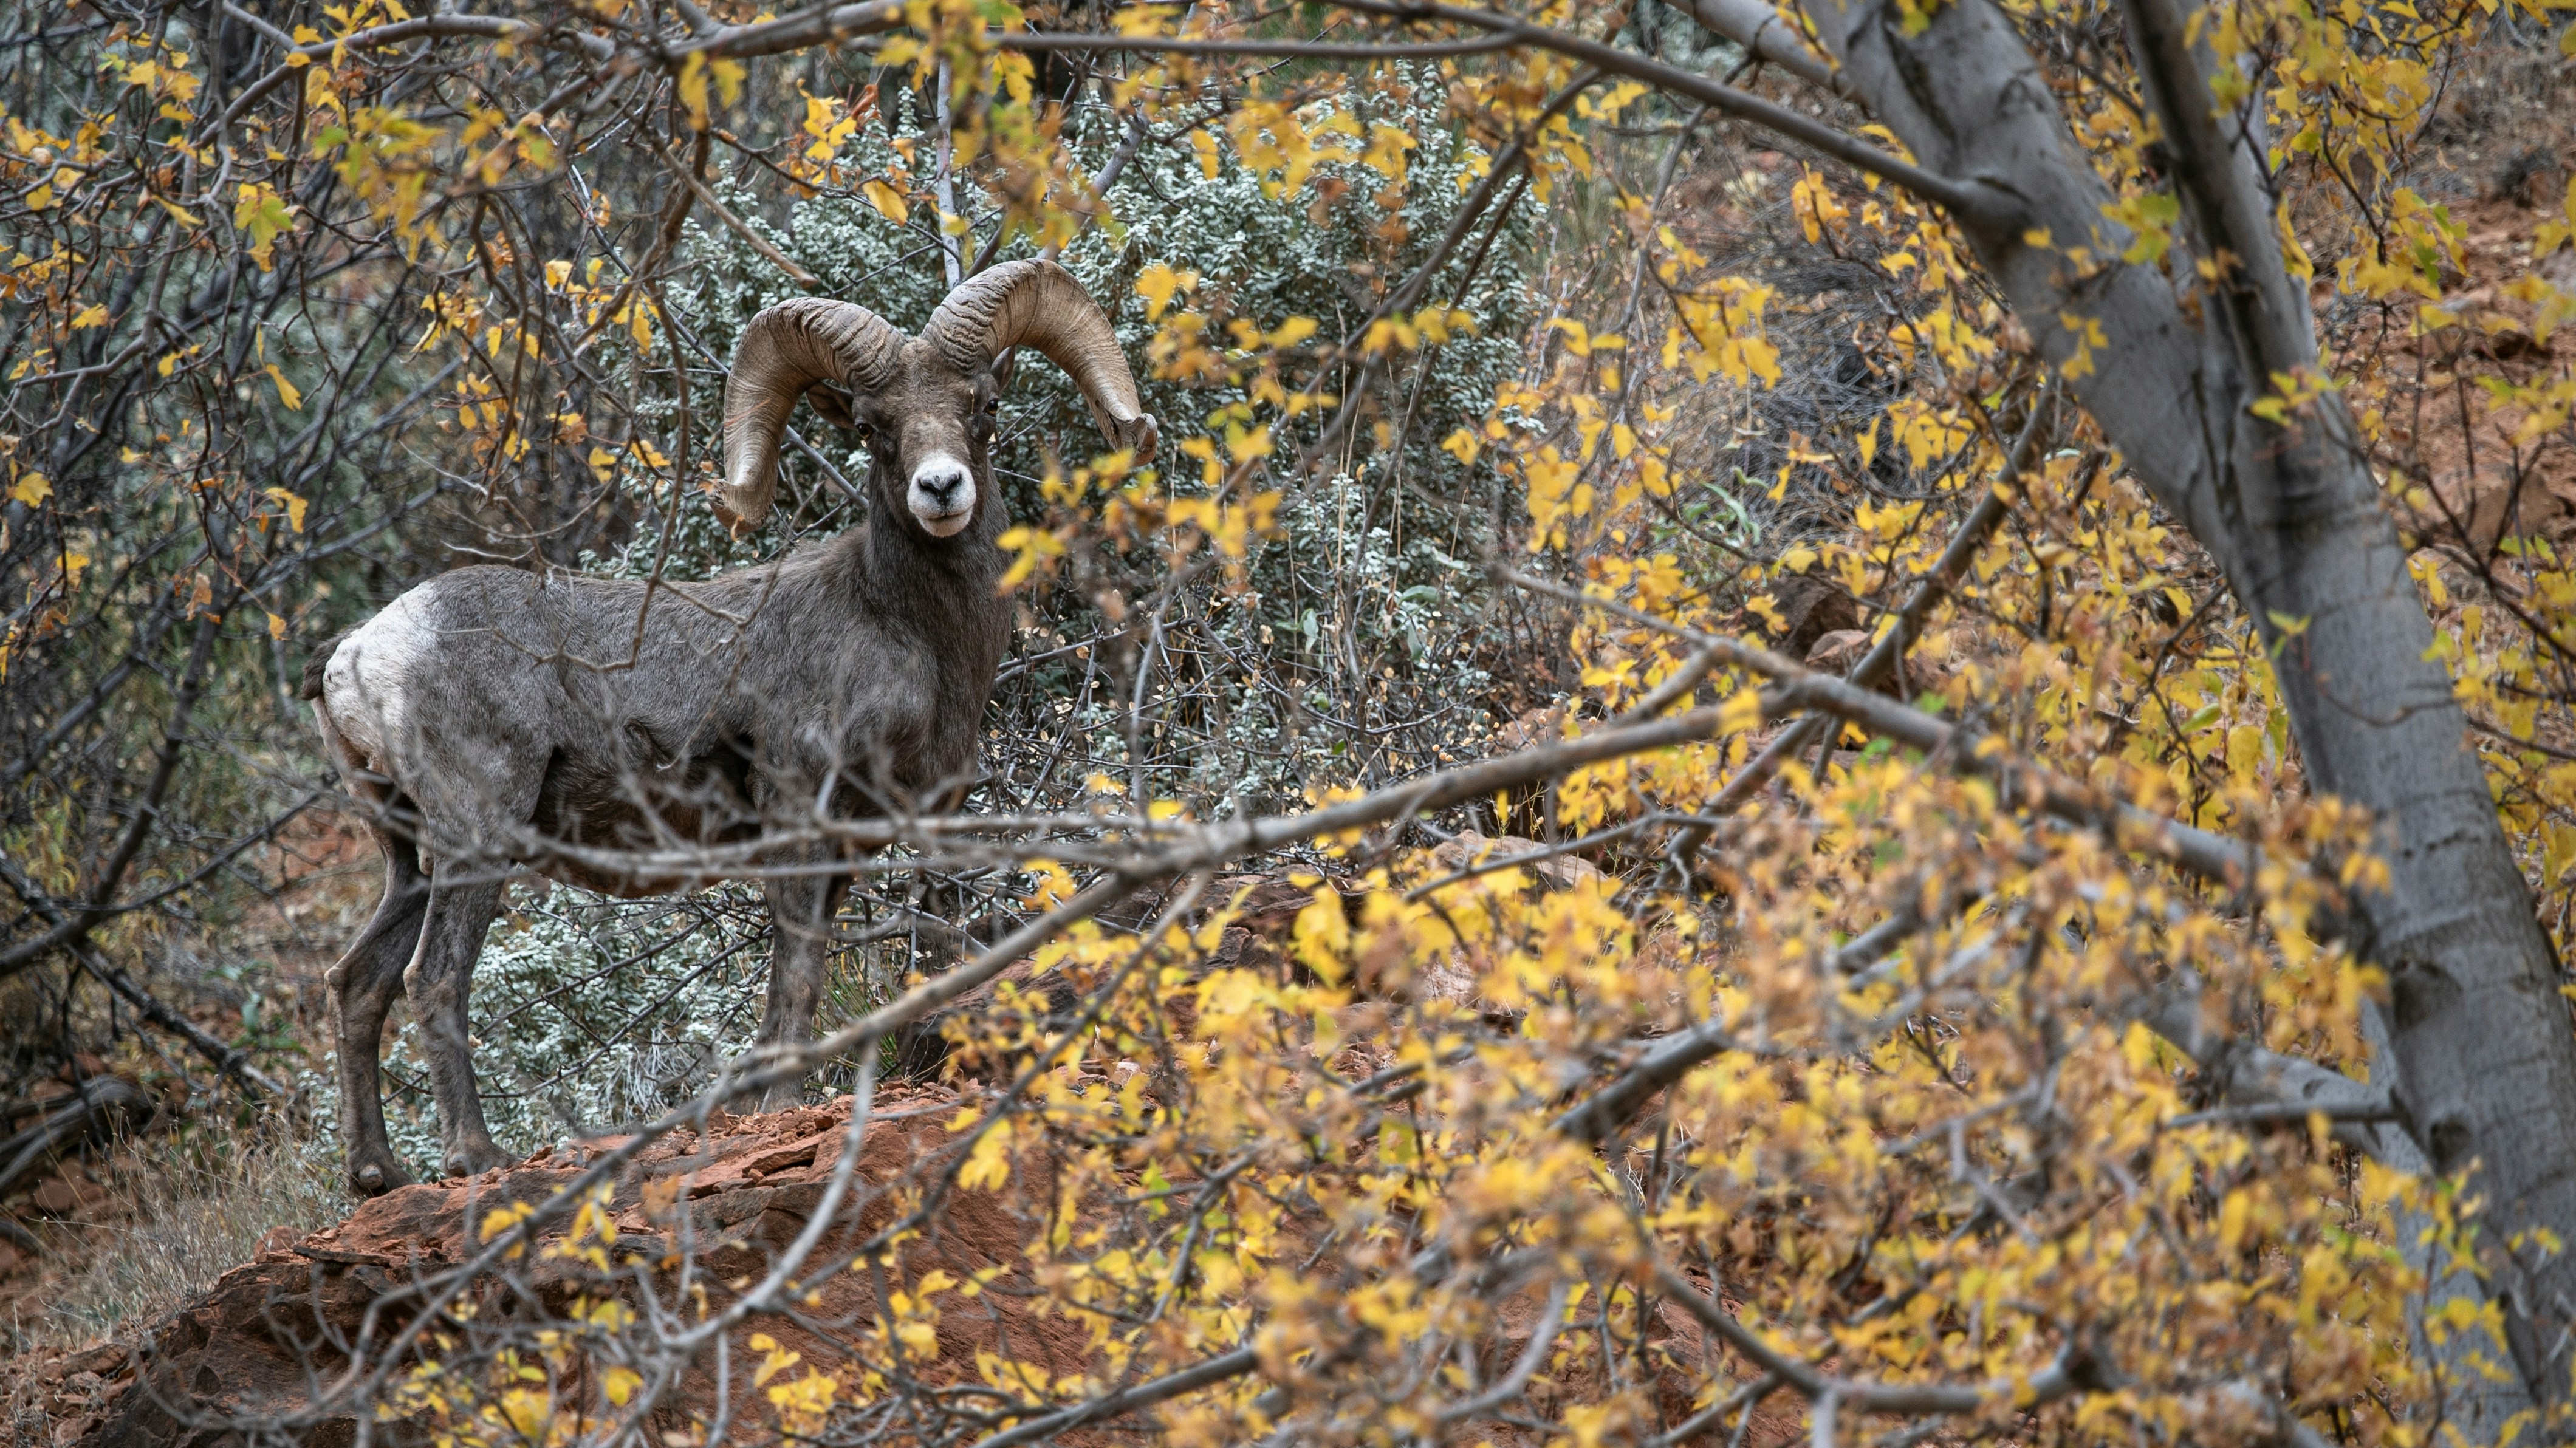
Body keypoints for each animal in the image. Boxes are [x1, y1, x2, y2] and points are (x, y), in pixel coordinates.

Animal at [303, 260, 1159, 1194]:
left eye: (984, 406)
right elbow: (798, 973)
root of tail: (360, 654)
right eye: (874, 426)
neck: (903, 630)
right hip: (476, 841)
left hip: (407, 858)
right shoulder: (797, 820)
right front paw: (777, 1104)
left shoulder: (848, 848)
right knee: (434, 979)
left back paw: (376, 1173)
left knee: (358, 982)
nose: (941, 489)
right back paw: (474, 1156)